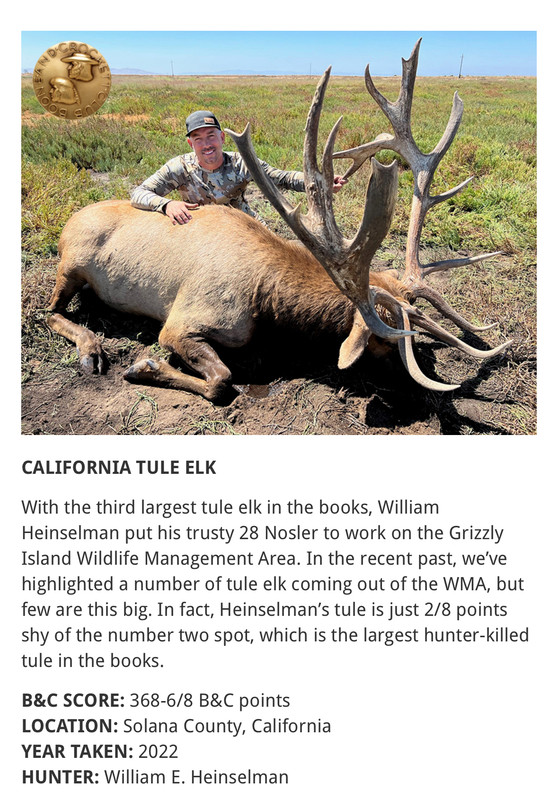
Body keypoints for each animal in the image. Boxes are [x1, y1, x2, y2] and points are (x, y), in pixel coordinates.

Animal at [46, 39, 510, 401]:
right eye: (386, 341)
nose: (422, 388)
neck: (268, 305)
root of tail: (69, 221)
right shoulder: (181, 324)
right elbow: (222, 379)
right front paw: (143, 367)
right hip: (70, 265)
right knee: (47, 312)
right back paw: (91, 350)